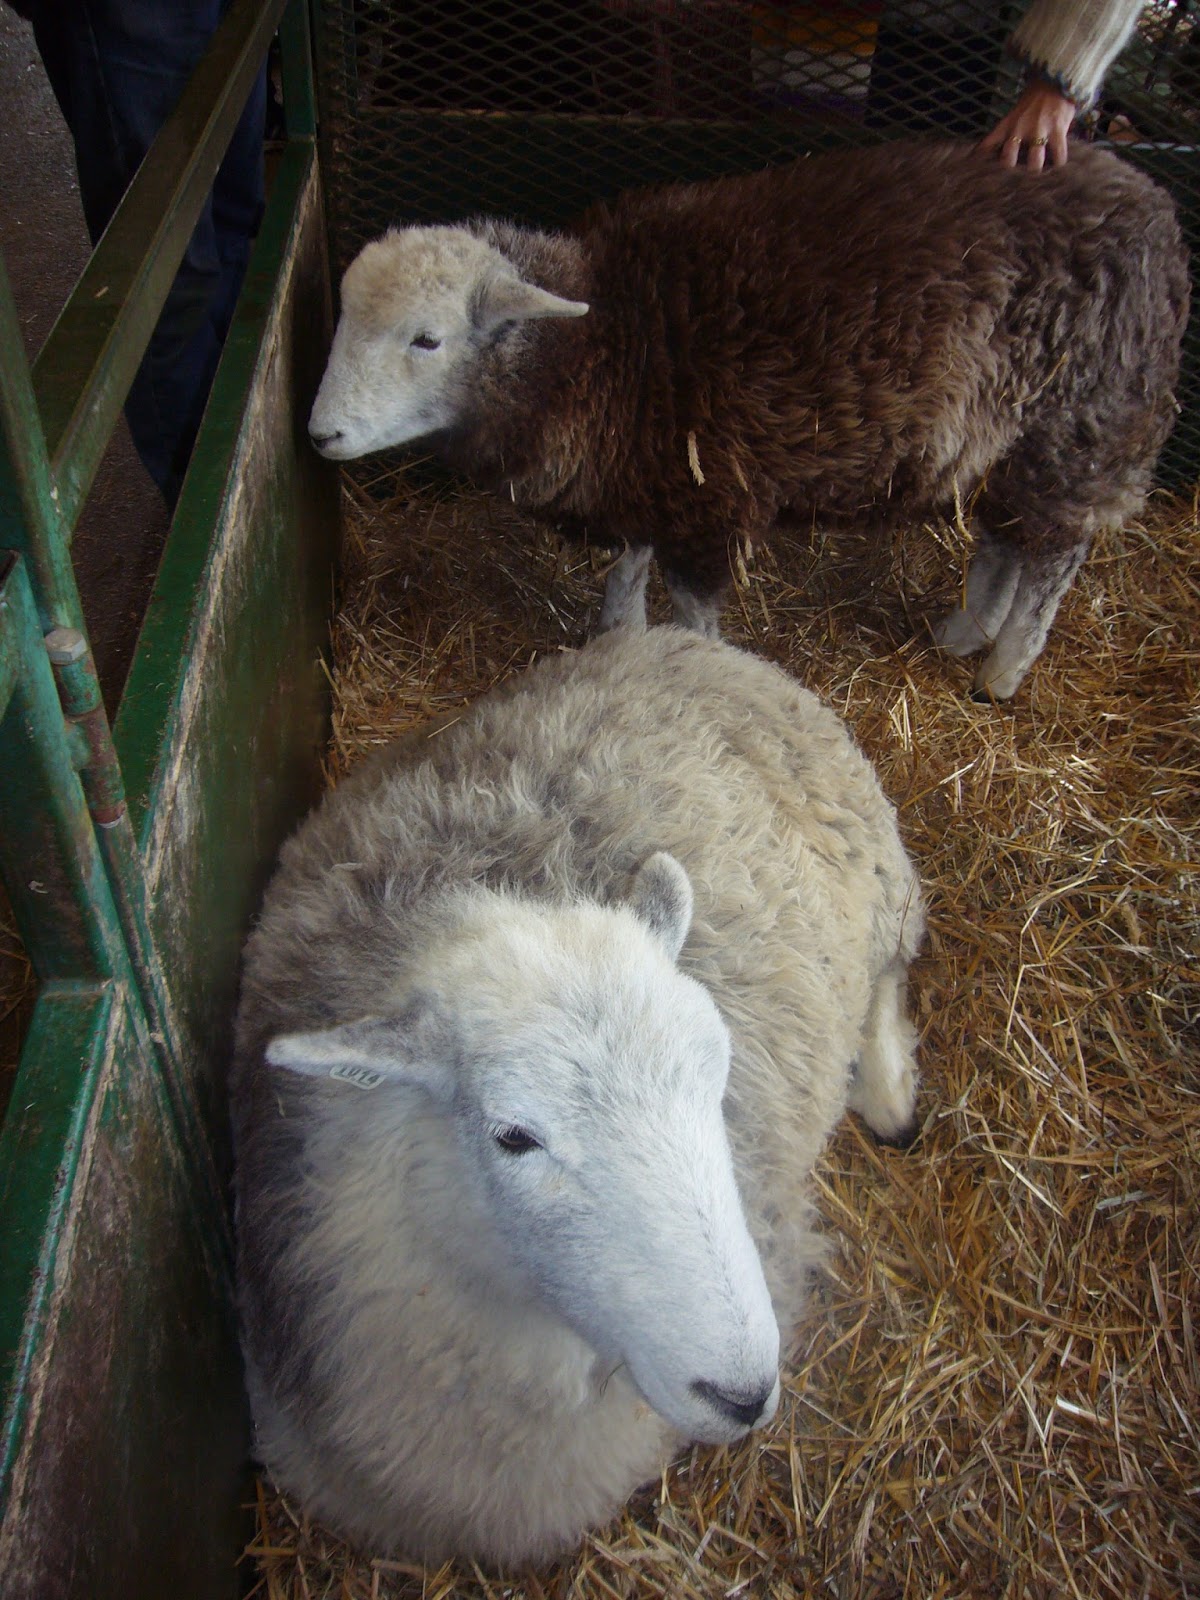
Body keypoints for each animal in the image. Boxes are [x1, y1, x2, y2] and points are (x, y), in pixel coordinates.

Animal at [231, 625, 925, 1567]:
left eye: (718, 1074)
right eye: (514, 1137)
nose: (744, 1393)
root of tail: (678, 638)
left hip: (879, 866)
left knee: (891, 968)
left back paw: (886, 1089)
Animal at [308, 138, 1189, 700]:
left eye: (427, 338)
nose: (321, 434)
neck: (599, 338)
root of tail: (1154, 205)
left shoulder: (701, 498)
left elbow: (694, 615)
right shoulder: (644, 474)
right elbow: (628, 566)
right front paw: (617, 632)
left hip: (1081, 419)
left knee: (1056, 553)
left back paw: (1004, 668)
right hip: (1013, 434)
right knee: (1008, 534)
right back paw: (969, 627)